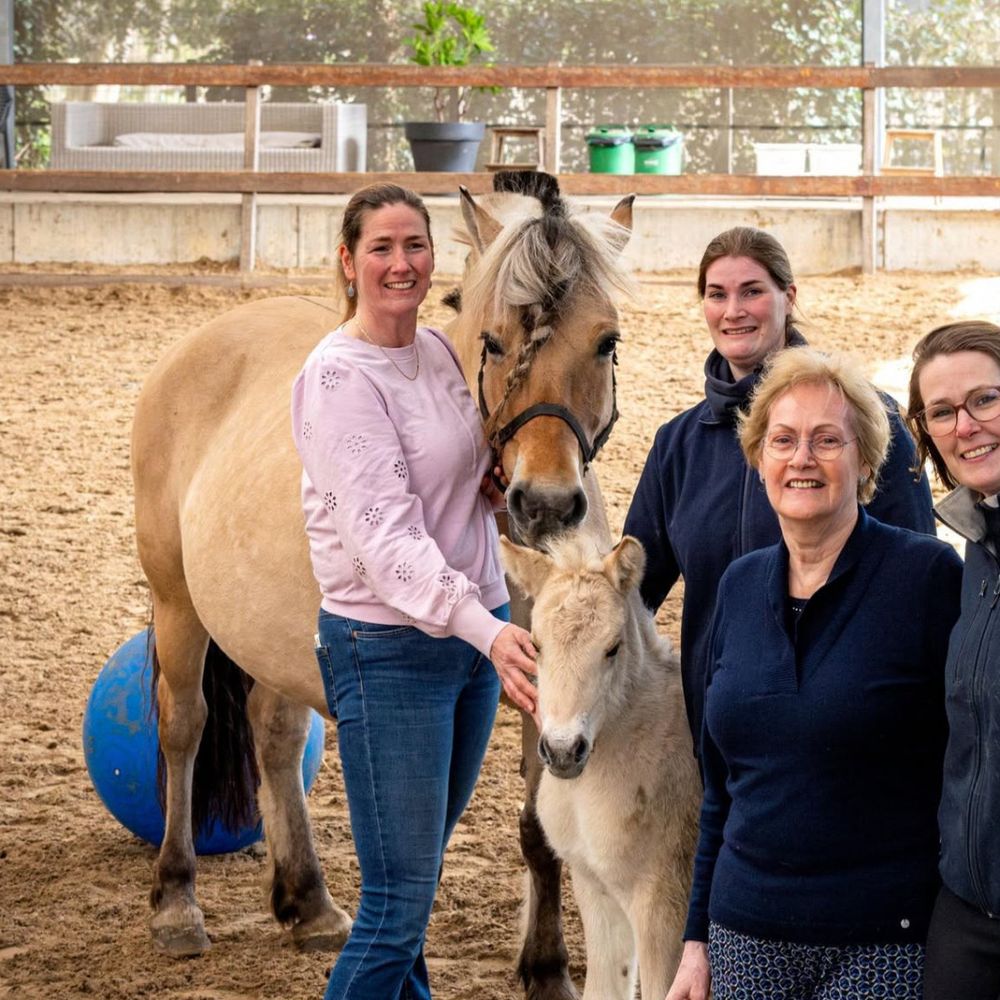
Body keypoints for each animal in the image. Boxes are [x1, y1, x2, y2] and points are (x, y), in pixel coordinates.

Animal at [131, 169, 635, 997]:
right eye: (493, 341)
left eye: (606, 341)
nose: (544, 505)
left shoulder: (555, 695)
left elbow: (538, 829)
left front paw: (546, 967)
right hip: (179, 606)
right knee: (184, 727)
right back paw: (176, 902)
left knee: (274, 735)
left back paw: (306, 901)